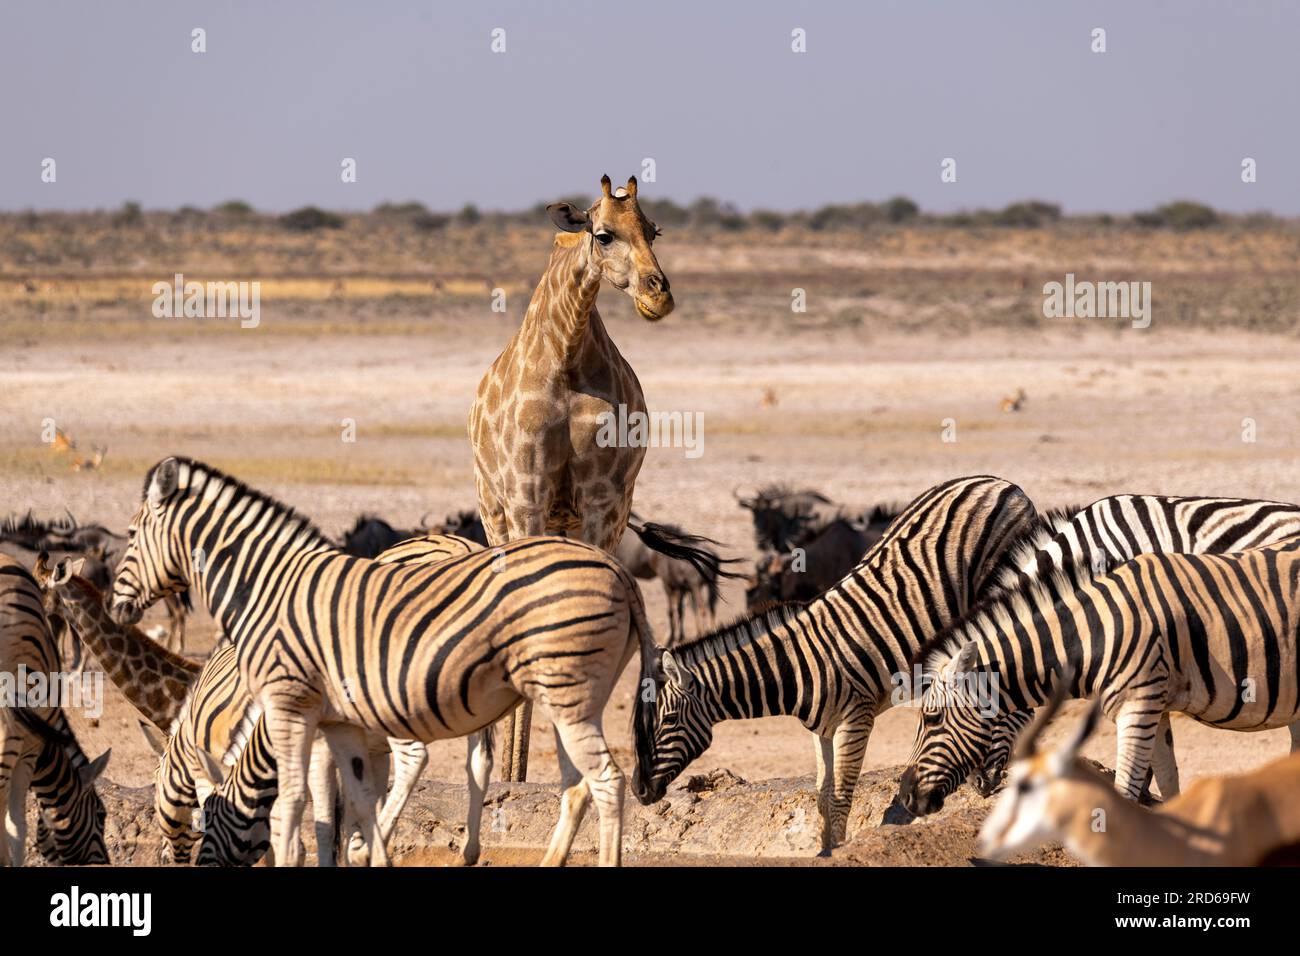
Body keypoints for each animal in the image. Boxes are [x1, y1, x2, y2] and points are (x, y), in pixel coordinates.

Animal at [143, 530, 482, 865]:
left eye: (209, 817)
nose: (165, 859)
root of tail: (459, 544)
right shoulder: (369, 752)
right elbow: (360, 808)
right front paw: (367, 849)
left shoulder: (314, 753)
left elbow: (316, 827)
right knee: (479, 761)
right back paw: (469, 850)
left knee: (415, 756)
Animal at [469, 173, 675, 781]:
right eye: (603, 234)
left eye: (652, 229)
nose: (659, 294)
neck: (564, 359)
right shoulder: (526, 495)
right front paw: (516, 778)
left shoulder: (603, 502)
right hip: (495, 513)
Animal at [631, 475, 1038, 851]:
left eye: (668, 720)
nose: (638, 790)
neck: (797, 666)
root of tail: (999, 483)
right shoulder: (822, 729)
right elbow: (824, 799)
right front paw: (825, 848)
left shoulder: (856, 720)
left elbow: (842, 798)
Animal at [898, 532, 1300, 817]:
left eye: (932, 718)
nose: (905, 797)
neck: (1094, 634)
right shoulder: (1157, 707)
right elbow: (1169, 783)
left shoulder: (1137, 708)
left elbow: (1125, 791)